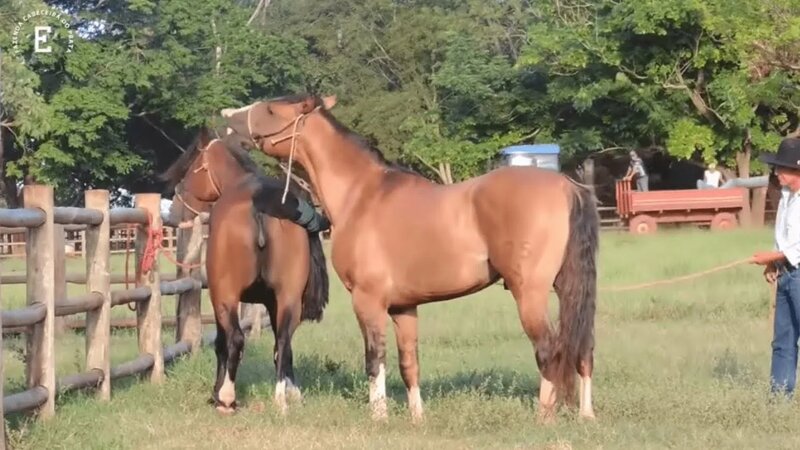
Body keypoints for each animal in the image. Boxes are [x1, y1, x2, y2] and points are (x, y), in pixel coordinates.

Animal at [160, 127, 331, 414]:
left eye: (192, 167)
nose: (173, 210)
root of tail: (259, 207)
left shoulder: (221, 297)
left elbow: (222, 343)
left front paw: (217, 393)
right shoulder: (273, 303)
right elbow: (283, 348)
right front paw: (294, 392)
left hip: (226, 296)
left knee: (236, 339)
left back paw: (227, 398)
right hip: (288, 298)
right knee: (283, 341)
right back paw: (281, 400)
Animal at [219, 94, 599, 424]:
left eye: (271, 110)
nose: (226, 119)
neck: (362, 194)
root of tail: (567, 187)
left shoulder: (368, 301)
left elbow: (375, 359)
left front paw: (379, 417)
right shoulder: (404, 307)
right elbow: (409, 363)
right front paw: (417, 418)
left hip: (529, 294)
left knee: (549, 349)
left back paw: (544, 417)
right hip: (568, 289)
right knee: (583, 348)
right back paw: (586, 415)